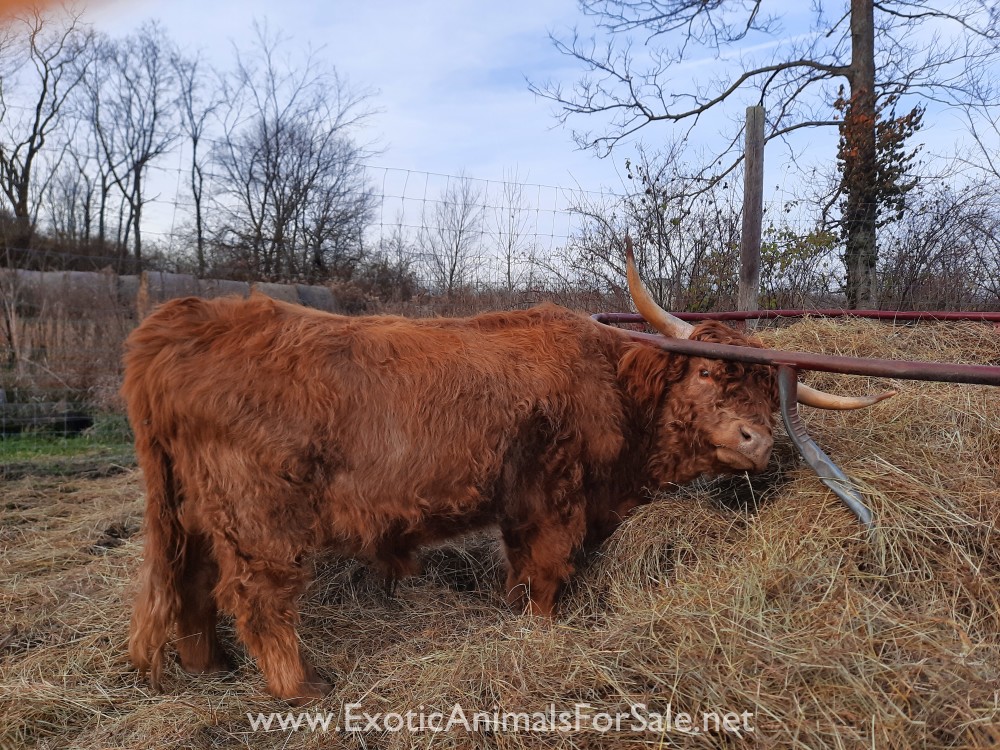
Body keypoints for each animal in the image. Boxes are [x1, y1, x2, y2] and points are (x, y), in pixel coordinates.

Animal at [123, 238, 893, 703]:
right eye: (706, 372)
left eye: (768, 391)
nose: (756, 440)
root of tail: (178, 320)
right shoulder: (553, 499)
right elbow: (547, 574)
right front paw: (544, 634)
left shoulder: (527, 504)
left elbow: (522, 575)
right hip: (258, 515)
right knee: (254, 597)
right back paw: (302, 688)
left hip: (191, 508)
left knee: (189, 585)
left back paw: (211, 668)